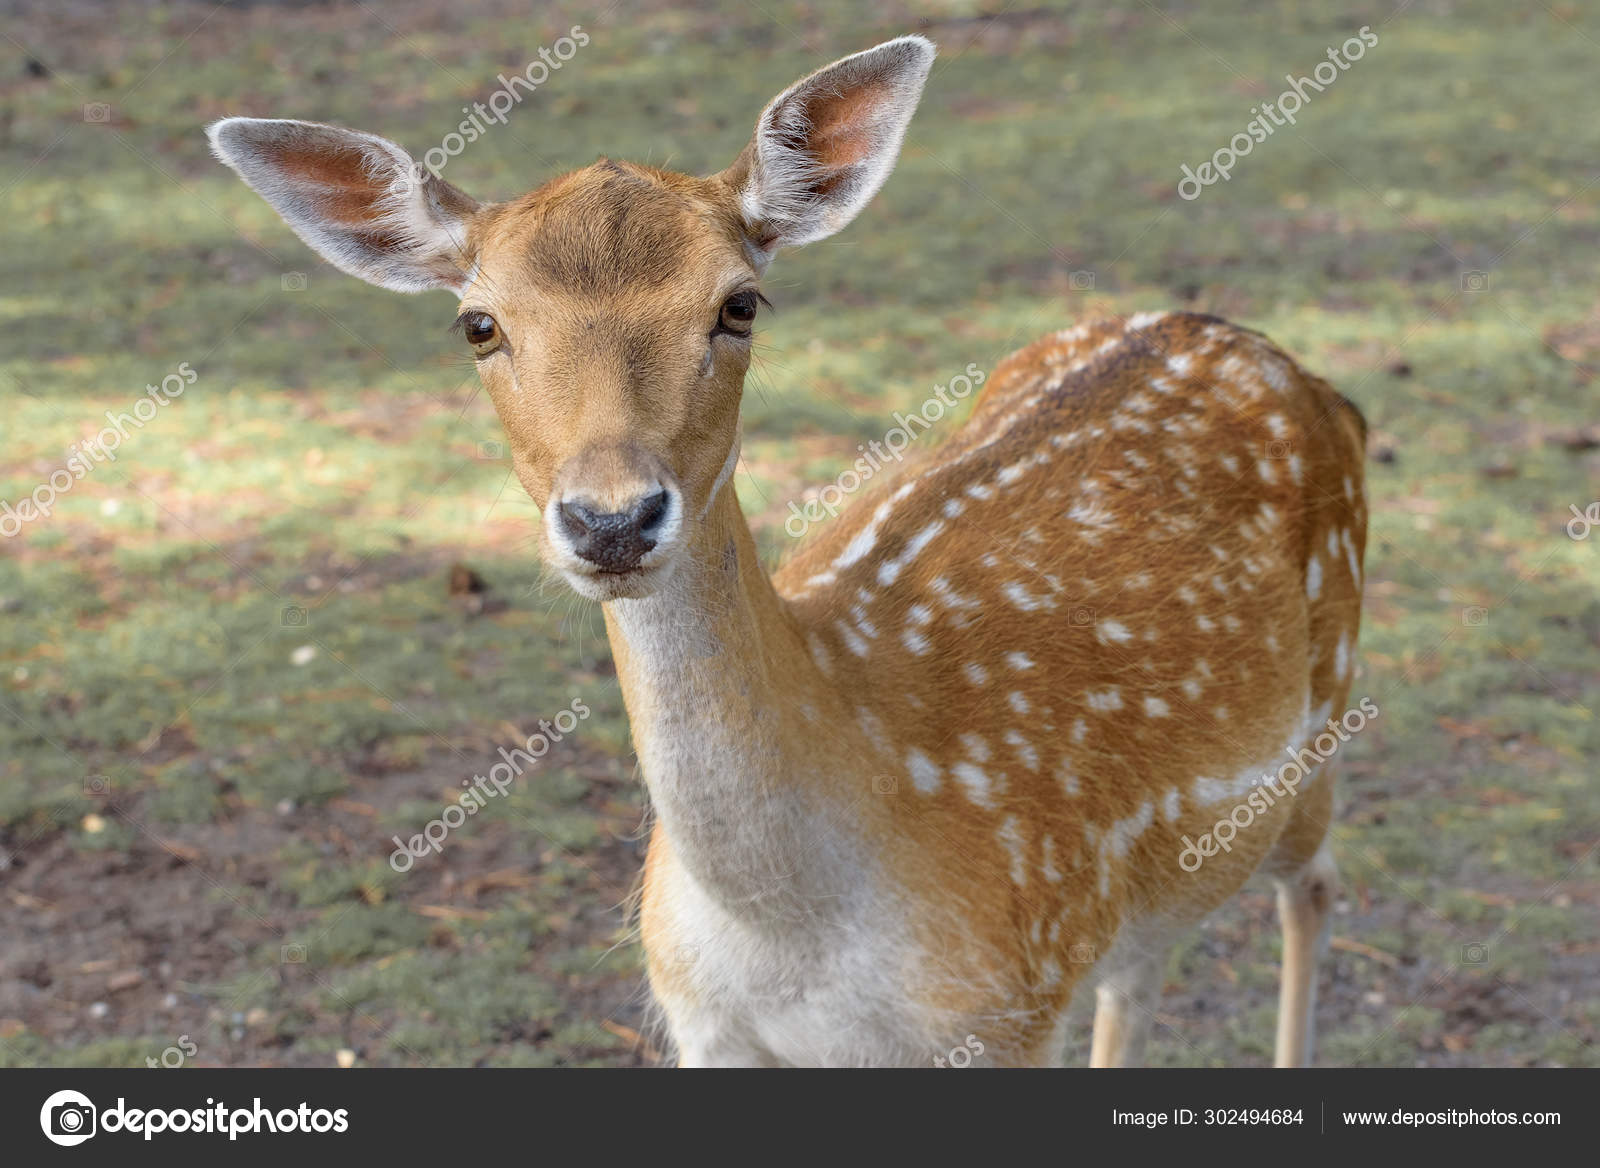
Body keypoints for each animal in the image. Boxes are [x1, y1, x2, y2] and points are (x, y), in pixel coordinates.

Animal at [207, 34, 1368, 1067]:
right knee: (1142, 972)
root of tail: (1280, 361)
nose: (613, 520)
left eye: (740, 303)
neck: (792, 932)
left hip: (1324, 718)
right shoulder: (699, 1020)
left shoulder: (1006, 1012)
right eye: (477, 325)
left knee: (1312, 888)